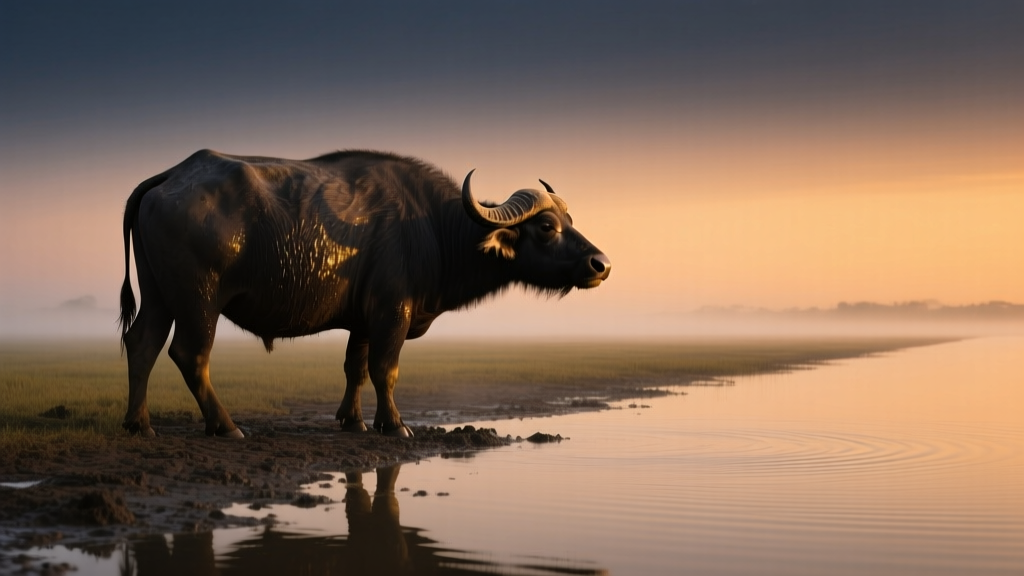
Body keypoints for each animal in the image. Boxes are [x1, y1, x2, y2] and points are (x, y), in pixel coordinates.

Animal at [119, 149, 610, 437]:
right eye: (545, 227)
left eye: (570, 221)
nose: (600, 264)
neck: (433, 227)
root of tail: (169, 175)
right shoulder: (392, 312)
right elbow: (384, 370)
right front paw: (394, 425)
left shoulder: (362, 319)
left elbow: (354, 367)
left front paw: (352, 421)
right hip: (199, 300)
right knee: (190, 355)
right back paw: (226, 427)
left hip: (159, 295)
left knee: (141, 344)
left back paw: (139, 424)